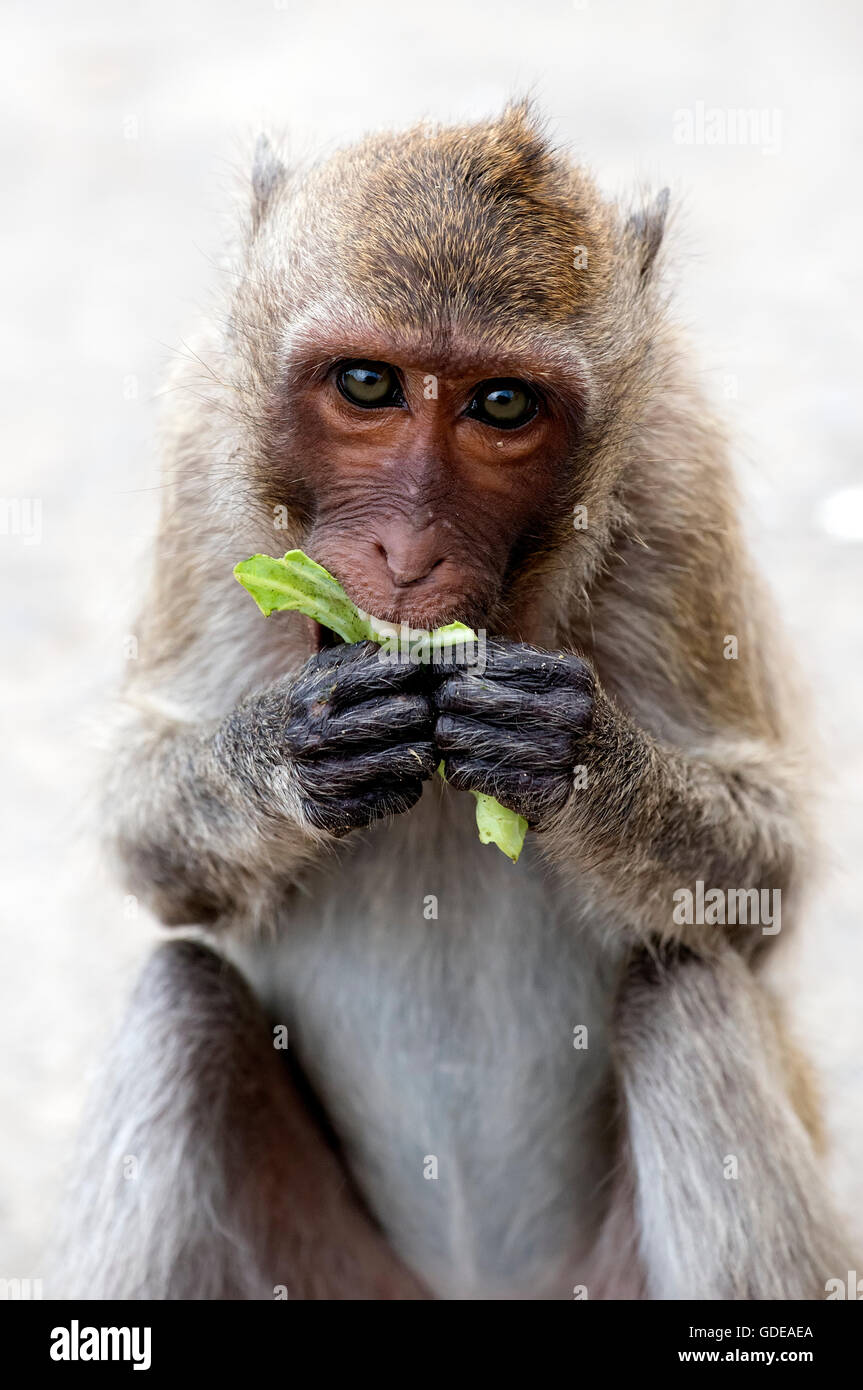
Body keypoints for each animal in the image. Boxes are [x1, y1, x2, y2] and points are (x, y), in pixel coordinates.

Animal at [52, 100, 853, 1301]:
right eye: (368, 386)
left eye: (501, 405)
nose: (408, 552)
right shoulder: (204, 445)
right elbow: (149, 847)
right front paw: (298, 746)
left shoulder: (674, 464)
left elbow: (761, 886)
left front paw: (562, 752)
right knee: (178, 1004)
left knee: (686, 993)